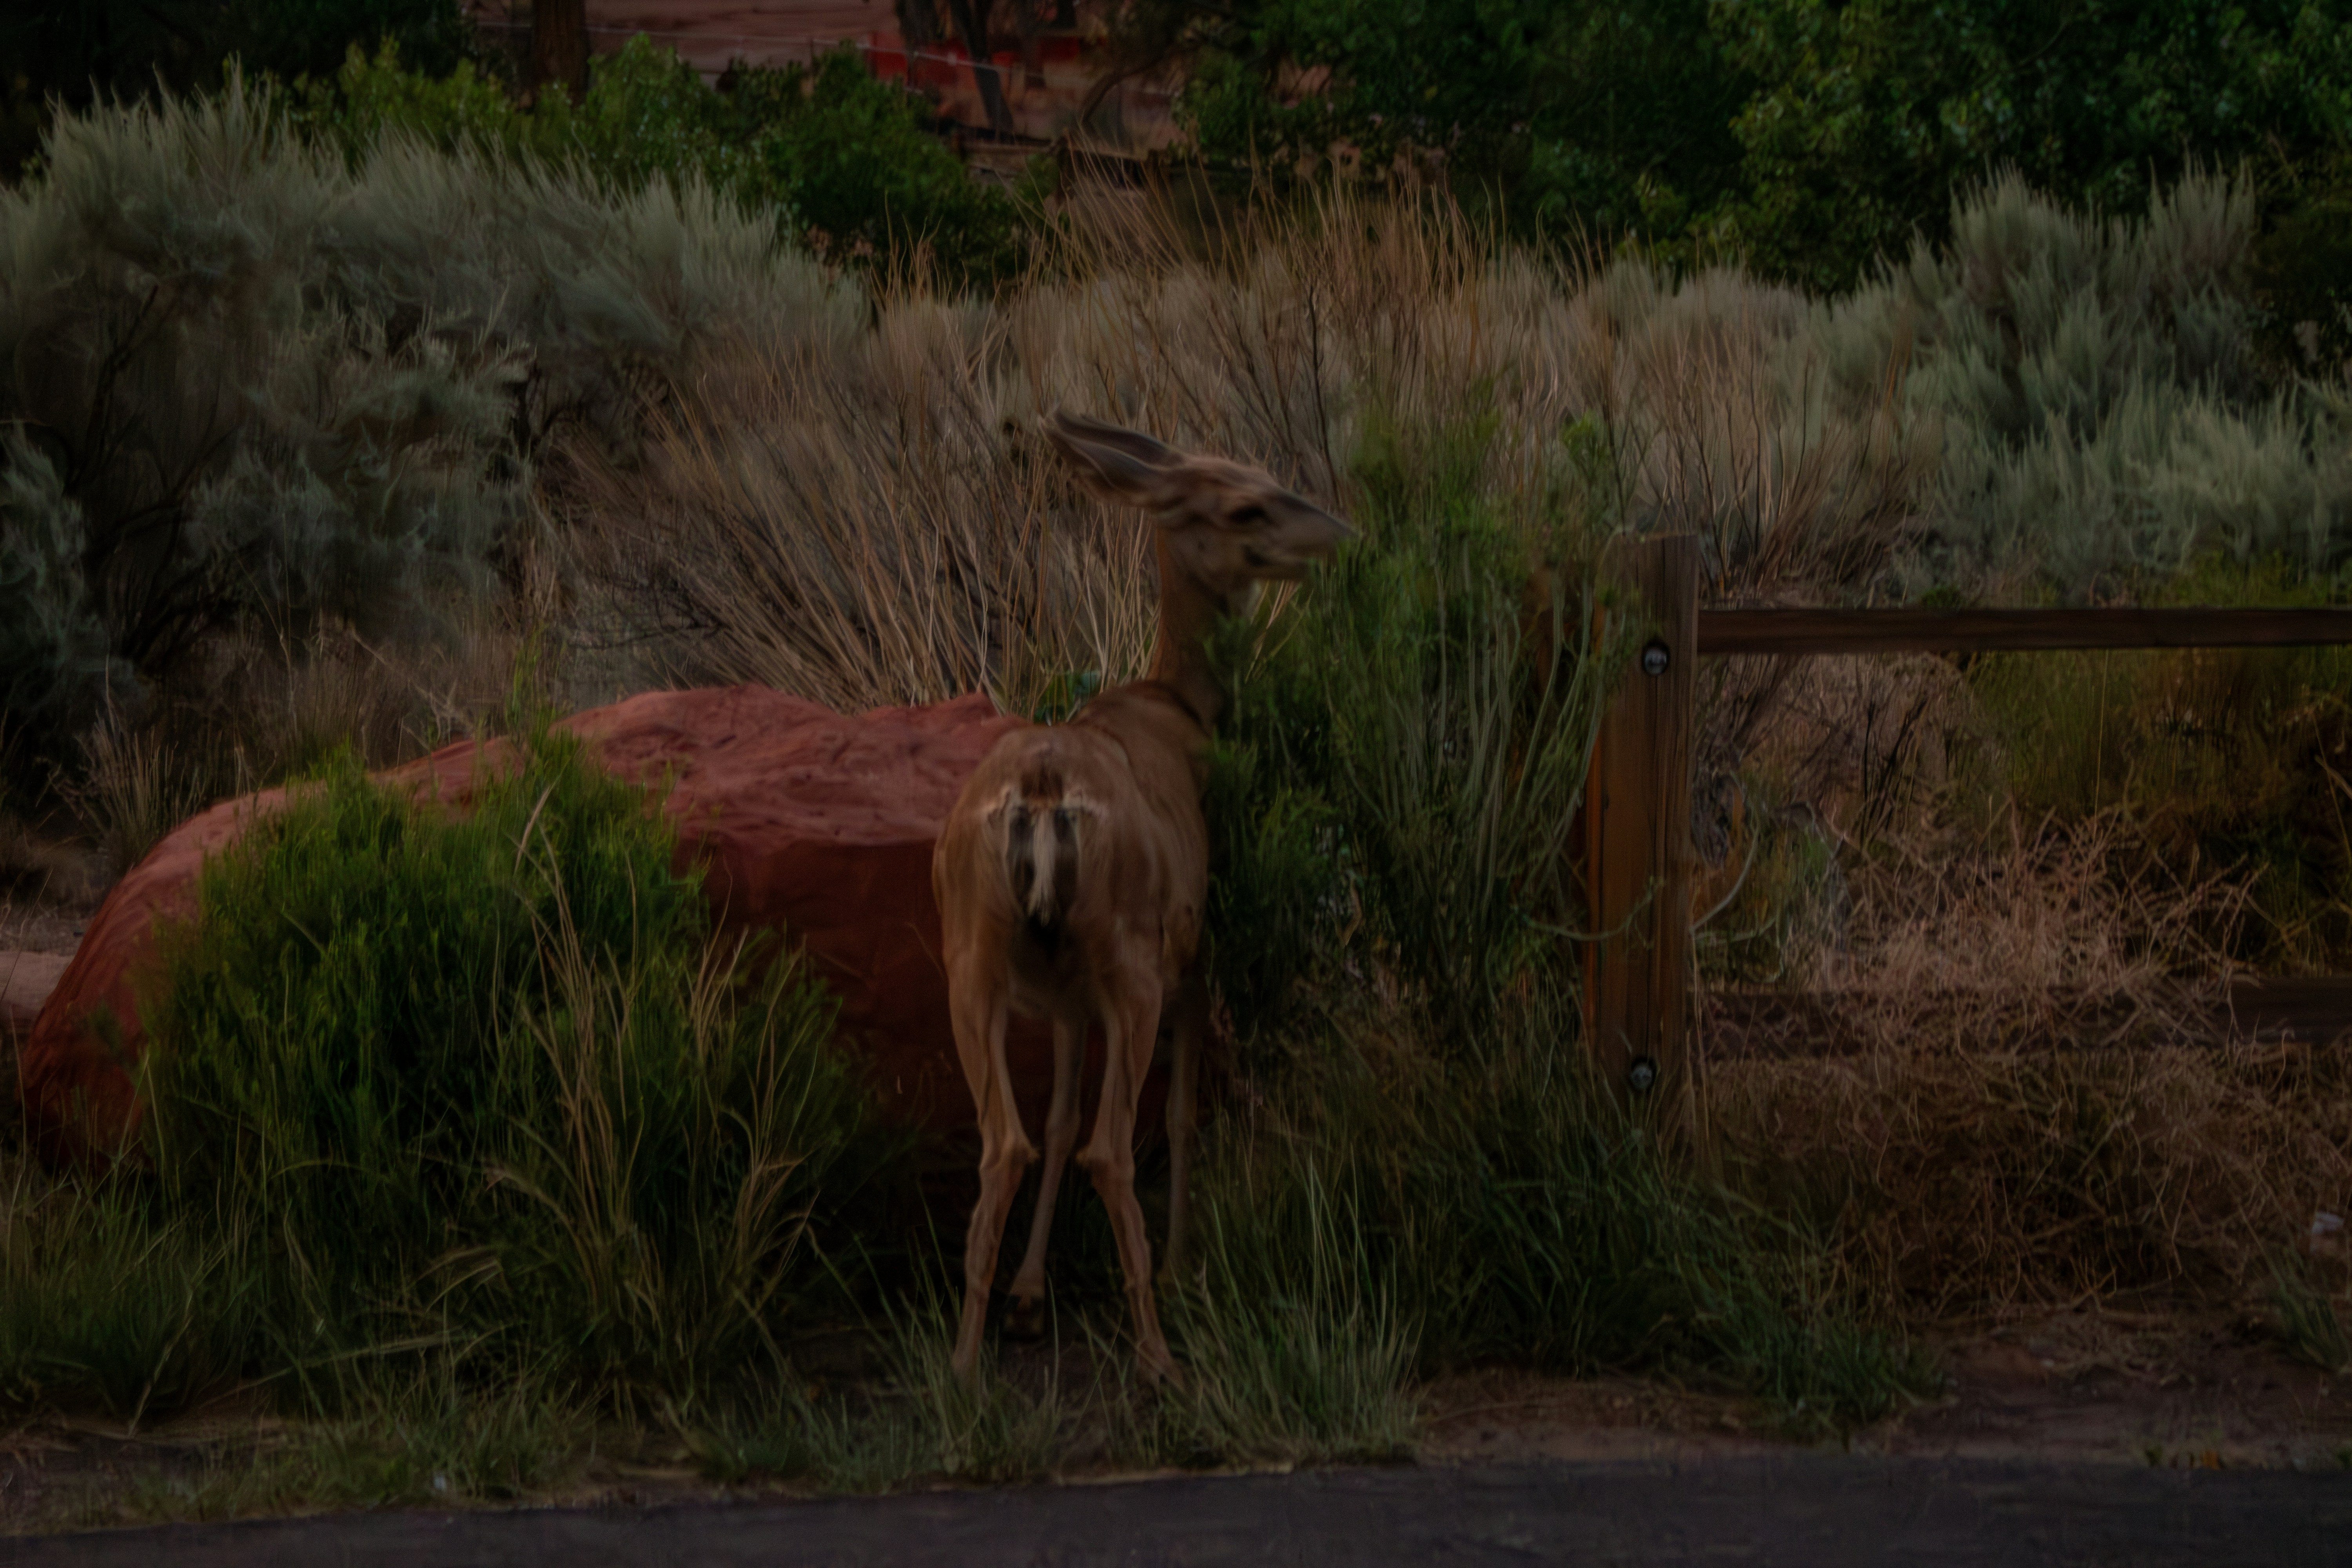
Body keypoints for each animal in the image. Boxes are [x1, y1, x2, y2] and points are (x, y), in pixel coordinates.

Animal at [932, 411, 1354, 1384]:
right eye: (1246, 506)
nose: (1339, 539)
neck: (1180, 702)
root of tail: (1043, 788)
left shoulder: (1064, 993)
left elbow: (1055, 1121)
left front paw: (1027, 1295)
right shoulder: (1193, 947)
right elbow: (1178, 1110)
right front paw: (1181, 1261)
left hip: (973, 954)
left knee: (1007, 1141)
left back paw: (966, 1360)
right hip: (1131, 955)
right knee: (1112, 1144)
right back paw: (1158, 1347)